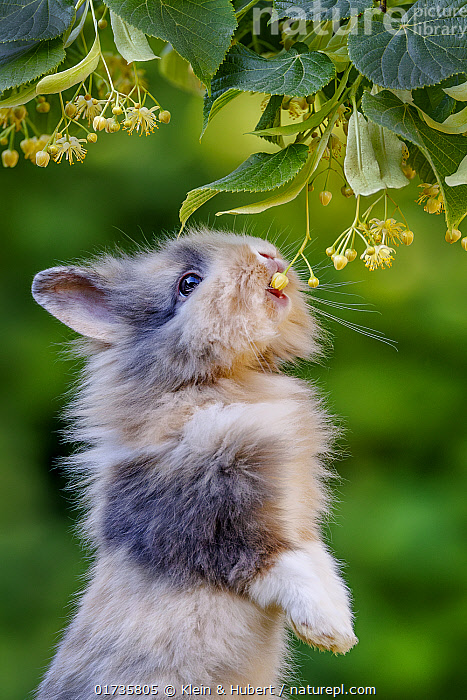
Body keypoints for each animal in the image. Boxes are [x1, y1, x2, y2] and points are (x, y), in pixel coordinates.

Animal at [31, 228, 357, 699]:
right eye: (188, 284)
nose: (267, 254)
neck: (223, 383)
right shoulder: (216, 527)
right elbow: (281, 566)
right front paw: (330, 634)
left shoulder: (296, 520)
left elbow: (321, 564)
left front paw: (342, 626)